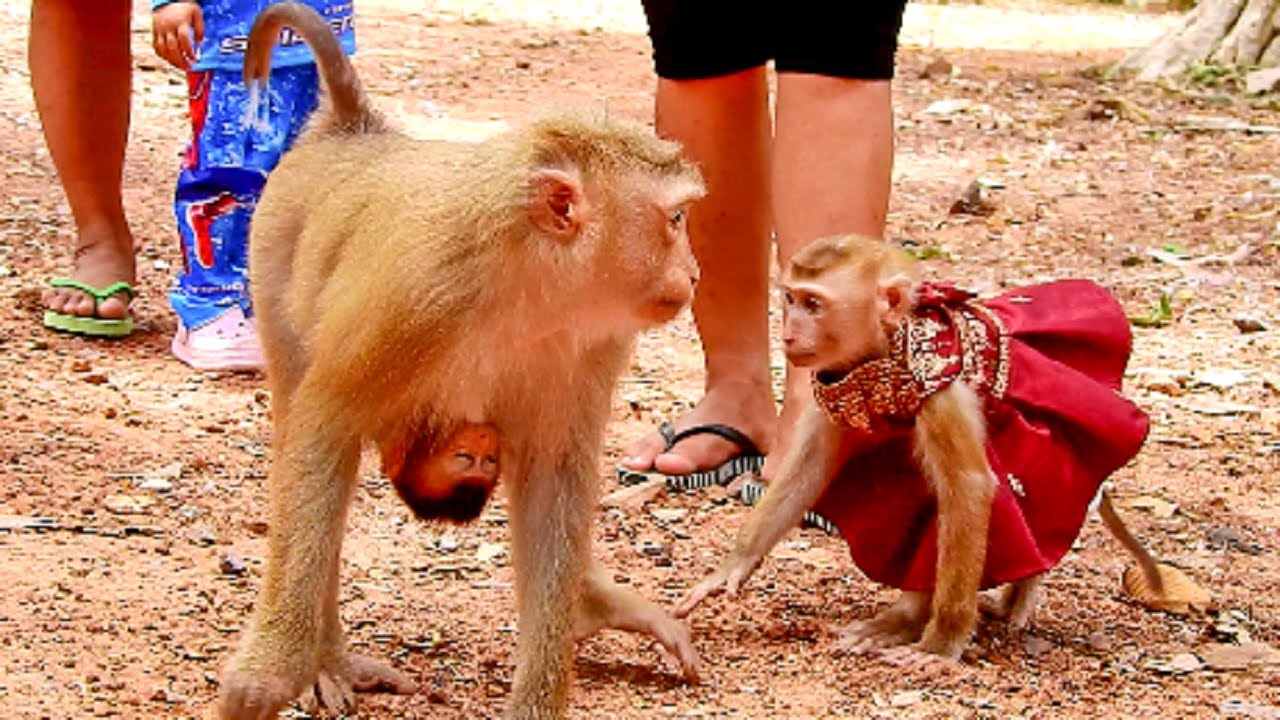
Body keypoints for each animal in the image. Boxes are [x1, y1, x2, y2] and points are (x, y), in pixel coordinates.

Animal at [216, 4, 705, 719]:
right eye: (674, 221)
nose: (693, 273)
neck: (528, 283)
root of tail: (353, 130)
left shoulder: (594, 340)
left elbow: (551, 478)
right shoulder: (419, 299)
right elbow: (325, 427)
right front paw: (274, 669)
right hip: (270, 246)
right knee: (305, 430)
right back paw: (325, 656)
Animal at [677, 234, 1164, 665]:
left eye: (813, 305)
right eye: (791, 299)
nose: (789, 333)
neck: (888, 350)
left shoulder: (941, 392)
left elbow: (969, 488)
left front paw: (943, 641)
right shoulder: (834, 376)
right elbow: (810, 466)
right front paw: (734, 566)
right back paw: (907, 615)